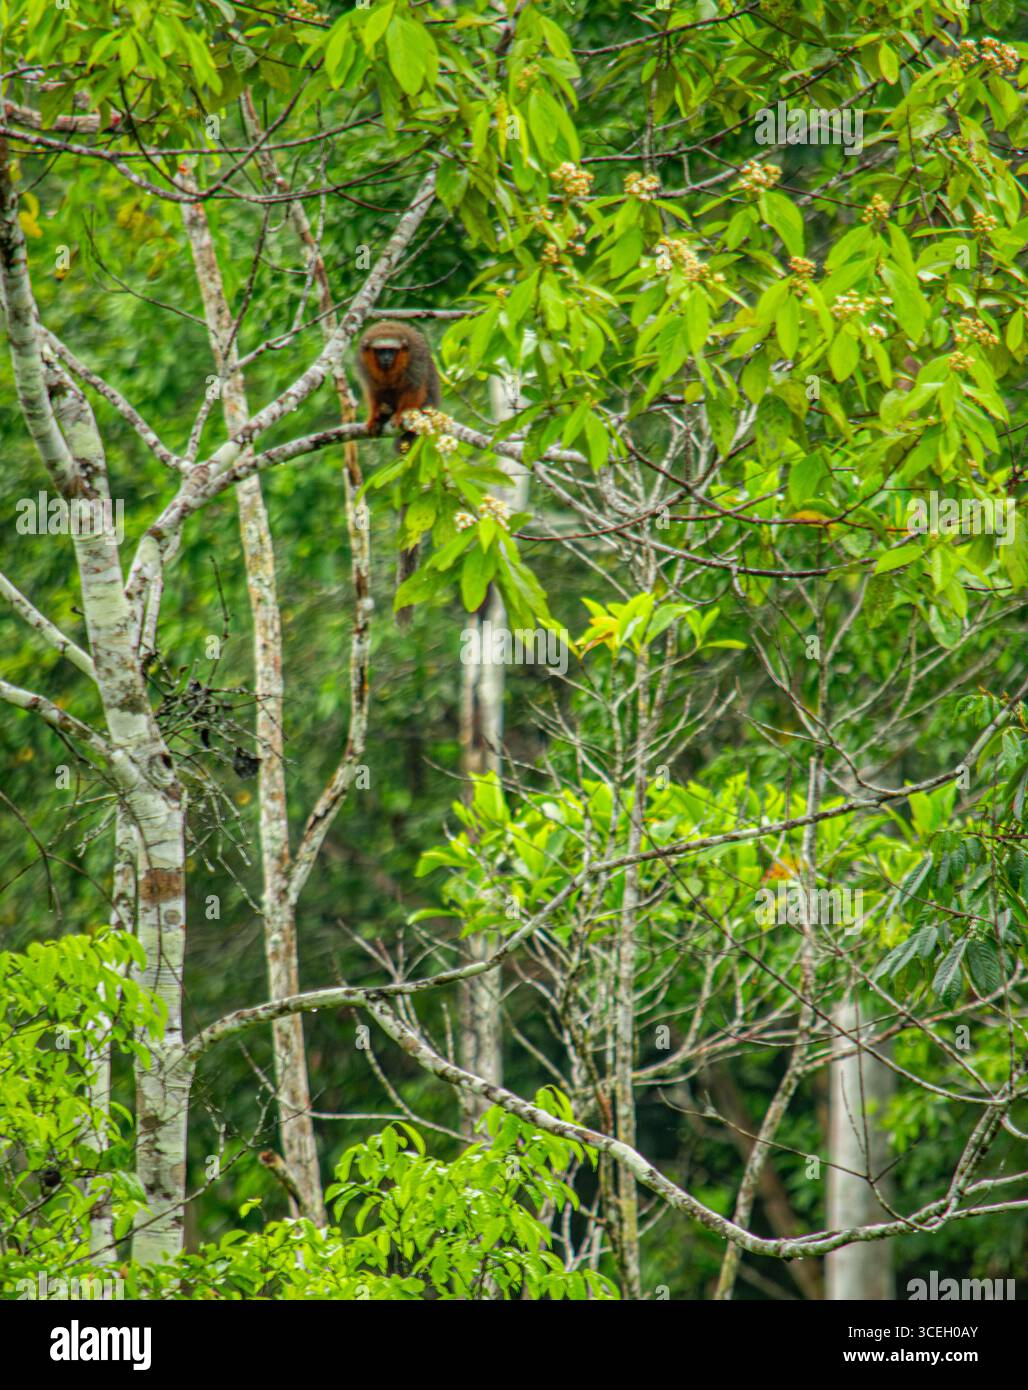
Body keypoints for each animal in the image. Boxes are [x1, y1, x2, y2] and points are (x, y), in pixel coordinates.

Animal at [356, 321, 442, 627]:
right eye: (381, 351)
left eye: (391, 352)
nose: (384, 358)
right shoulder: (363, 366)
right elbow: (372, 391)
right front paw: (375, 415)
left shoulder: (414, 362)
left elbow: (413, 388)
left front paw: (401, 413)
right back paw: (383, 412)